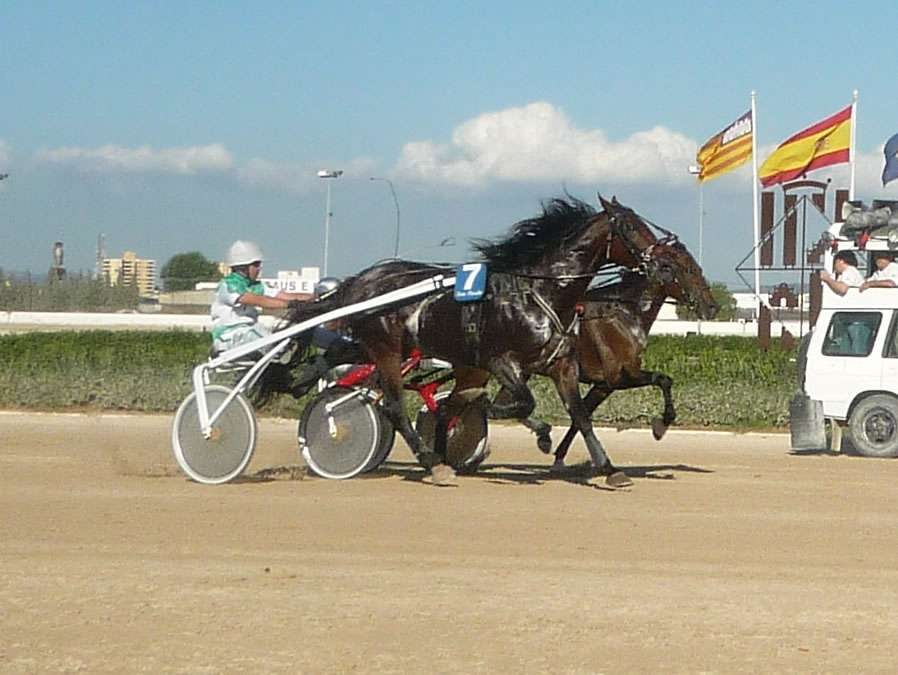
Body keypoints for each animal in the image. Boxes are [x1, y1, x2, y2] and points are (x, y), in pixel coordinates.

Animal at [274, 195, 662, 487]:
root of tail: (362, 281)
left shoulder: (561, 364)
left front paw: (610, 470)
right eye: (629, 227)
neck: (537, 292)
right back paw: (433, 461)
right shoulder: (499, 361)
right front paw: (514, 420)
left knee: (339, 352)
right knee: (394, 407)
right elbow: (523, 404)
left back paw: (299, 380)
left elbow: (580, 415)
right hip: (386, 349)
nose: (661, 263)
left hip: (385, 345)